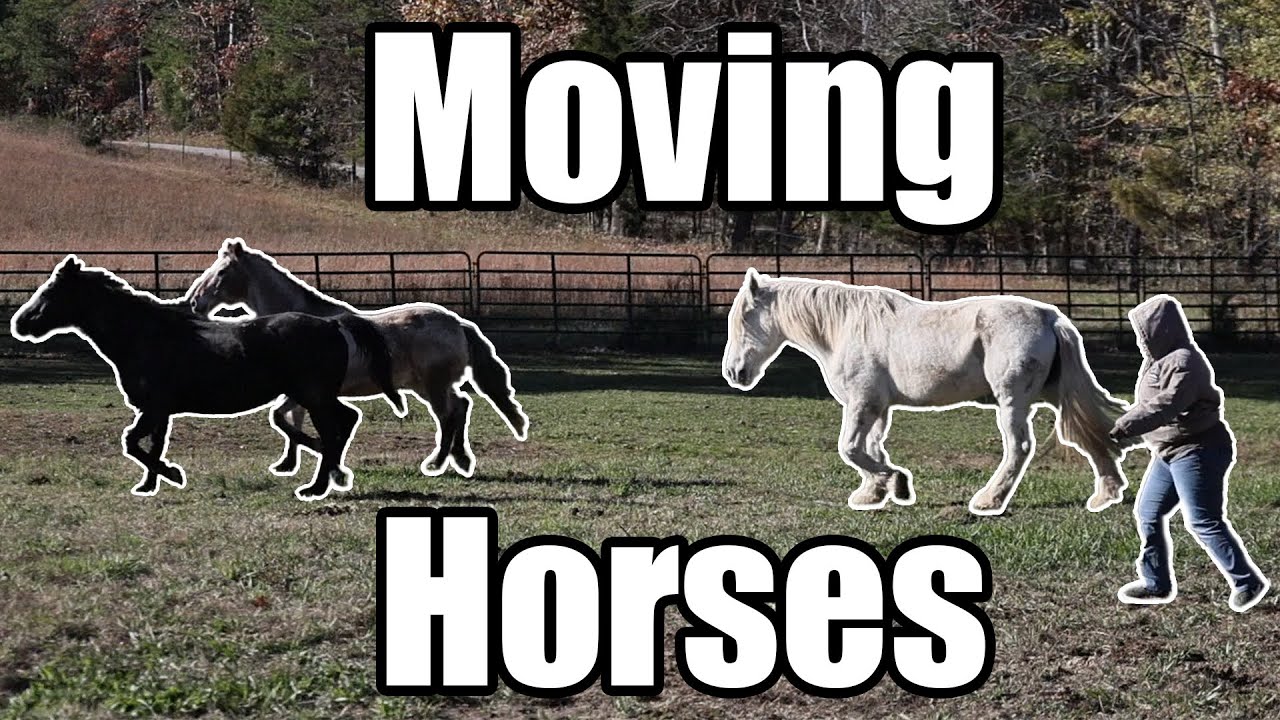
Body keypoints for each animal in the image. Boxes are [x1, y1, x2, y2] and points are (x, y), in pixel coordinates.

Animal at [10, 256, 401, 501]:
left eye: (50, 292)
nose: (21, 323)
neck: (145, 336)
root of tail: (332, 324)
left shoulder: (153, 408)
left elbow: (132, 443)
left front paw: (172, 475)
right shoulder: (160, 412)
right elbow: (153, 445)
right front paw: (148, 486)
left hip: (314, 396)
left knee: (337, 428)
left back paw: (318, 486)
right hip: (316, 396)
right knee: (344, 424)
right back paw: (332, 475)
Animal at [187, 238, 528, 478]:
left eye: (222, 272)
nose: (194, 302)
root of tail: (457, 323)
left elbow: (282, 418)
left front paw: (323, 455)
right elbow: (289, 419)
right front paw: (287, 464)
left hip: (433, 386)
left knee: (449, 415)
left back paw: (437, 463)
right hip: (427, 385)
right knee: (461, 407)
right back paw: (460, 459)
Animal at [721, 268, 1132, 515]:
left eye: (744, 318)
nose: (734, 373)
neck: (845, 329)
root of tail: (1051, 317)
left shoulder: (861, 403)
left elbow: (851, 449)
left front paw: (894, 482)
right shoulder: (878, 408)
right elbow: (871, 449)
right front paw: (875, 492)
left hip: (1012, 402)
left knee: (1020, 448)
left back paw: (989, 500)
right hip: (1055, 395)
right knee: (1088, 434)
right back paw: (1106, 493)